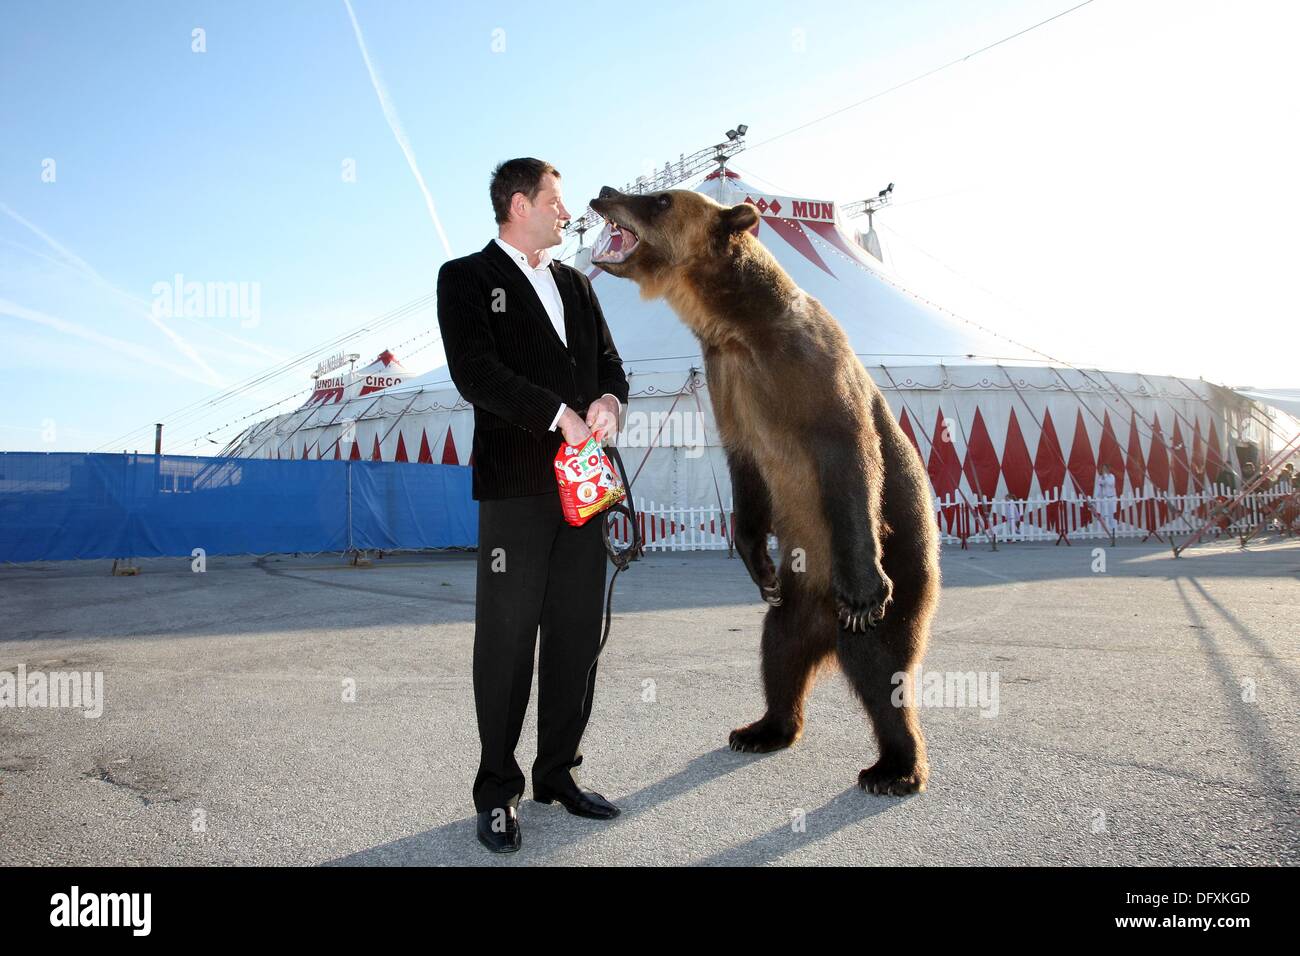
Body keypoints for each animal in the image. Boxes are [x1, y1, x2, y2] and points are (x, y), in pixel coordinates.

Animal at [587, 184, 940, 795]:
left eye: (659, 200)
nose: (605, 192)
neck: (735, 327)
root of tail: (823, 626)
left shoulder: (810, 366)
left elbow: (850, 452)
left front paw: (864, 591)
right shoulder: (728, 385)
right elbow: (747, 471)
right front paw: (758, 563)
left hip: (904, 574)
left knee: (882, 665)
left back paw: (894, 767)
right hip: (796, 606)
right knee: (778, 654)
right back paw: (762, 728)